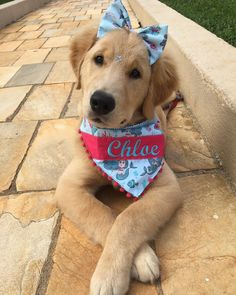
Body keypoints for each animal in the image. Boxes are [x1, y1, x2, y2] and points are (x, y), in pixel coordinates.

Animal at [56, 15, 183, 295]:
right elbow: (103, 214)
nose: (101, 101)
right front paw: (139, 259)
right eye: (98, 59)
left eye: (136, 73)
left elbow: (129, 218)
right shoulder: (69, 186)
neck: (115, 141)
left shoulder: (168, 186)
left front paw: (110, 274)